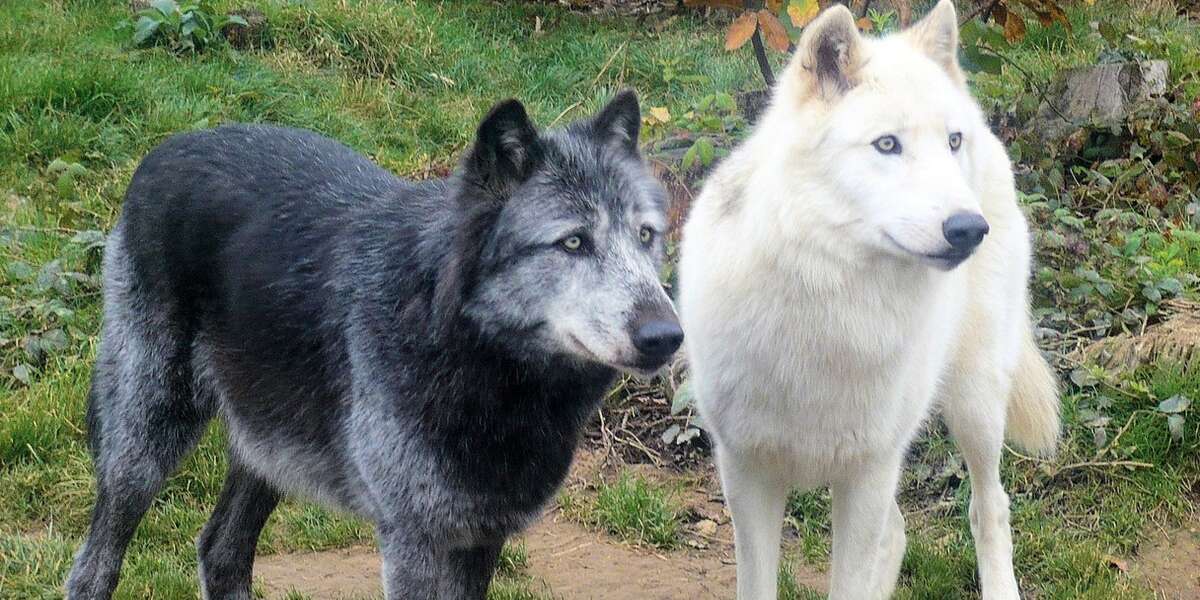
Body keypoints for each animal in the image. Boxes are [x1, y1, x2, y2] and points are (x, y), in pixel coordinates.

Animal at [65, 90, 682, 600]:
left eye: (645, 236)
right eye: (573, 242)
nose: (667, 336)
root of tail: (166, 147)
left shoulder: (481, 539)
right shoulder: (414, 543)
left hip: (270, 449)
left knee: (220, 552)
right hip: (145, 442)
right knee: (94, 567)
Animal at [677, 2, 1060, 599]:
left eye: (951, 142)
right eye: (887, 144)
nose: (970, 229)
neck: (830, 301)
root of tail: (992, 136)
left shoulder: (868, 472)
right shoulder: (747, 476)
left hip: (973, 403)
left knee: (989, 506)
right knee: (899, 531)